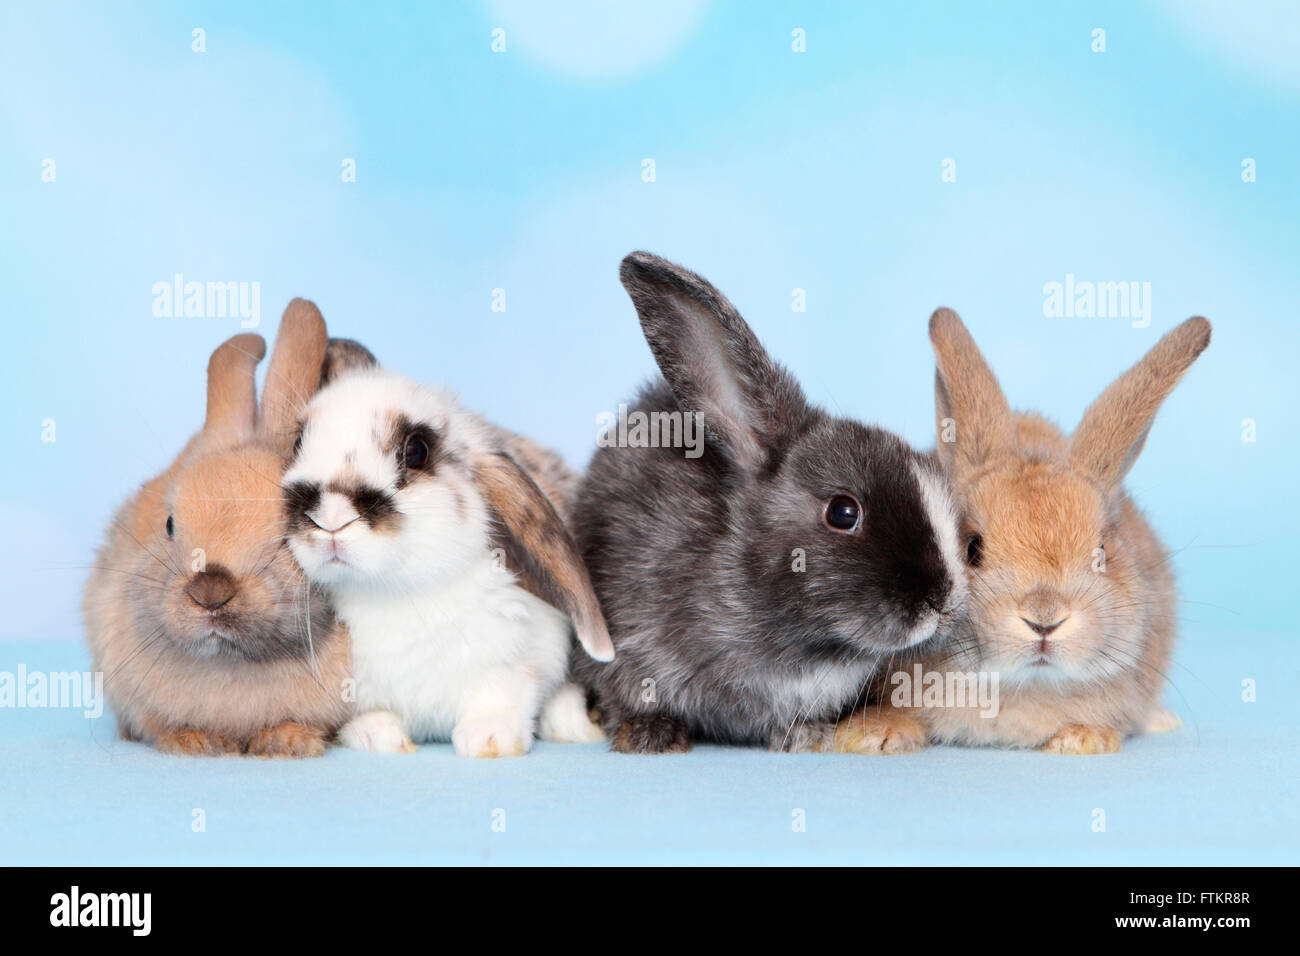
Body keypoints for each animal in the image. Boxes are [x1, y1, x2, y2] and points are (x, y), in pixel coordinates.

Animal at [280, 367, 615, 758]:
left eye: (417, 450)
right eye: (298, 443)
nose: (330, 517)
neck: (396, 595)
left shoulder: (518, 660)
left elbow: (506, 694)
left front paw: (489, 737)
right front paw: (377, 734)